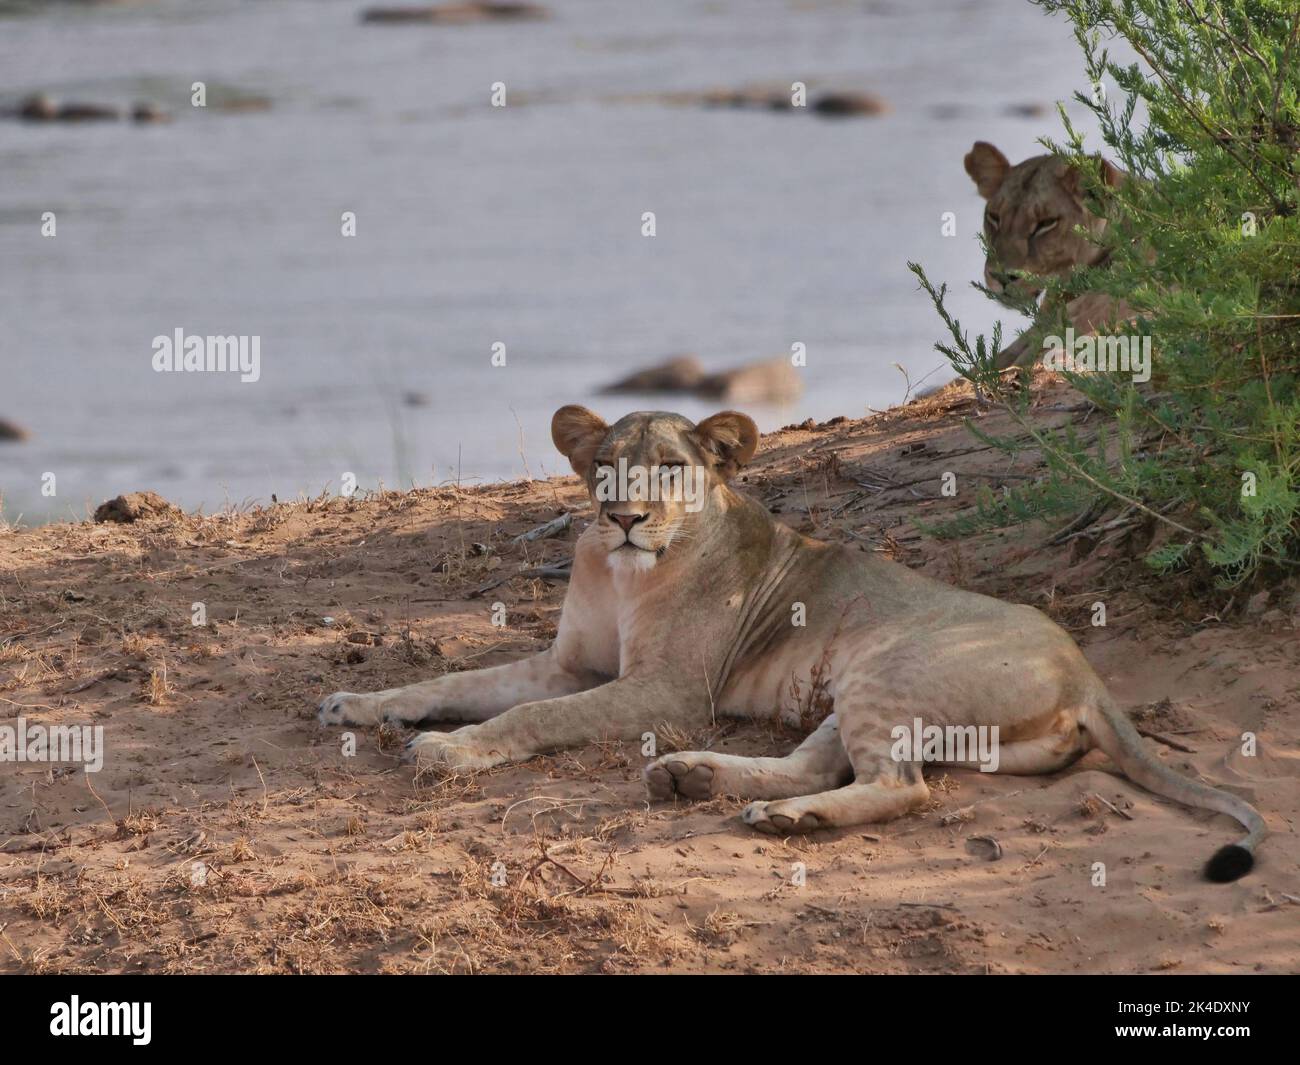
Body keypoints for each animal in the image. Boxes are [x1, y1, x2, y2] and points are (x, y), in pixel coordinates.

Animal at [318, 406, 1265, 882]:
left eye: (670, 468)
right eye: (604, 468)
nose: (623, 517)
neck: (621, 573)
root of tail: (1085, 672)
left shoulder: (668, 691)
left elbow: (531, 719)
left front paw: (448, 752)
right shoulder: (567, 663)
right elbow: (459, 679)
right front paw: (359, 704)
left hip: (887, 666)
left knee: (903, 788)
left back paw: (780, 817)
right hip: (852, 686)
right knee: (819, 763)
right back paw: (700, 781)